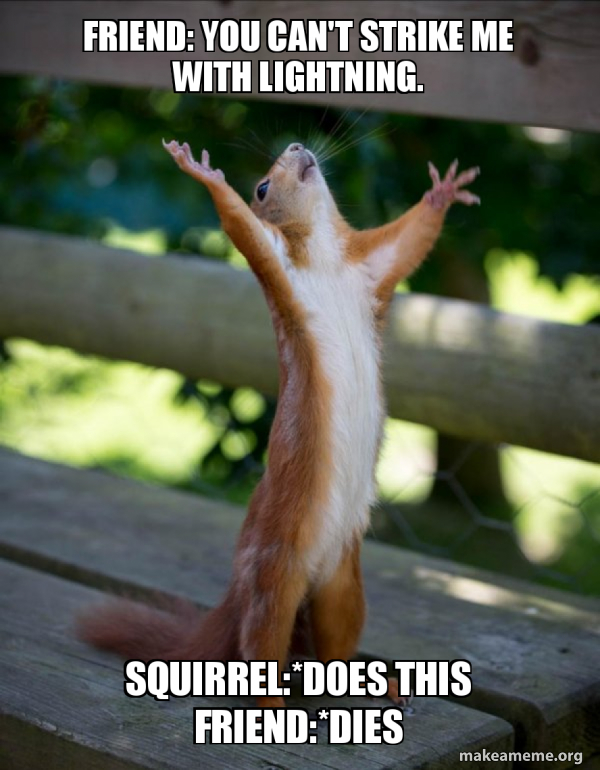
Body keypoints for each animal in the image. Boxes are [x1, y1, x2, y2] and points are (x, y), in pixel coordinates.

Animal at [77, 138, 479, 708]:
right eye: (262, 187)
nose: (296, 146)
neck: (327, 260)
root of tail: (239, 590)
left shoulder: (372, 267)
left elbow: (410, 240)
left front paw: (443, 191)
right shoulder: (277, 265)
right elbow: (240, 226)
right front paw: (203, 173)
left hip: (344, 587)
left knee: (335, 650)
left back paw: (375, 685)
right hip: (273, 578)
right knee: (261, 648)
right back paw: (274, 706)